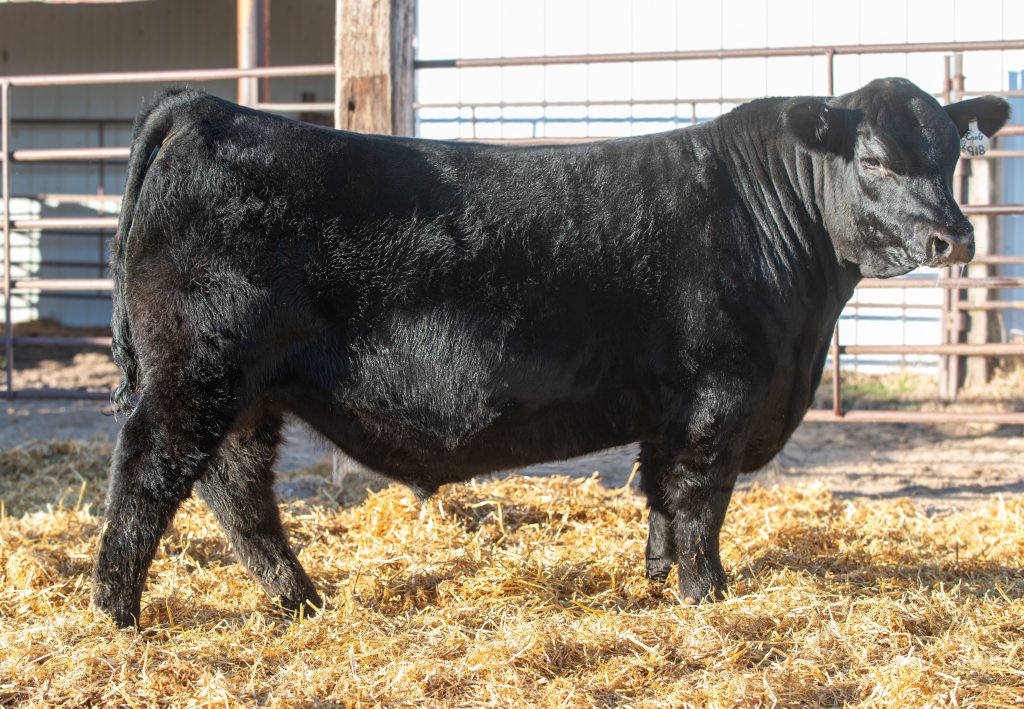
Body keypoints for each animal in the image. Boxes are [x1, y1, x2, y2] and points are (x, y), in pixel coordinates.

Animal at [92, 78, 1009, 628]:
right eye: (876, 160)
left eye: (953, 153)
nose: (955, 237)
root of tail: (207, 107)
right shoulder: (720, 394)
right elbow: (700, 501)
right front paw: (707, 596)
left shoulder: (673, 410)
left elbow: (660, 497)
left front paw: (655, 583)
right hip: (198, 371)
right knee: (148, 474)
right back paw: (116, 611)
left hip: (246, 391)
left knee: (237, 488)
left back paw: (301, 599)